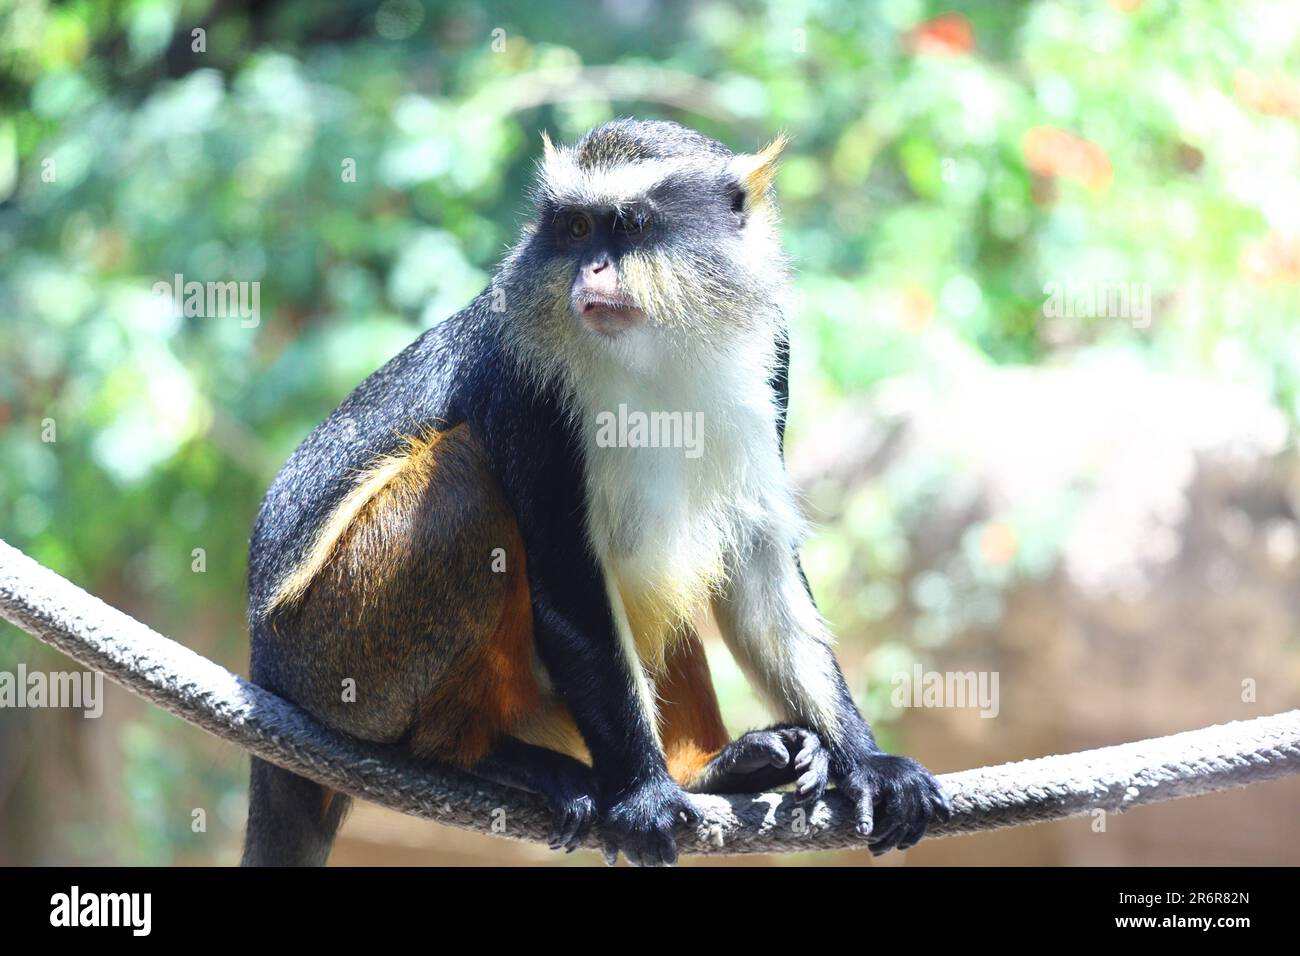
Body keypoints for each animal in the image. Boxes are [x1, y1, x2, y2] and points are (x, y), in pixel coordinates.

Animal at [241, 119, 950, 867]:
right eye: (577, 228)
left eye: (632, 226)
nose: (594, 271)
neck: (661, 347)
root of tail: (265, 659)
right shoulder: (528, 378)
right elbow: (565, 574)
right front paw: (644, 798)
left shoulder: (773, 359)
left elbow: (759, 565)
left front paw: (868, 763)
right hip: (341, 656)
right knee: (464, 481)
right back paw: (478, 756)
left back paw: (716, 768)